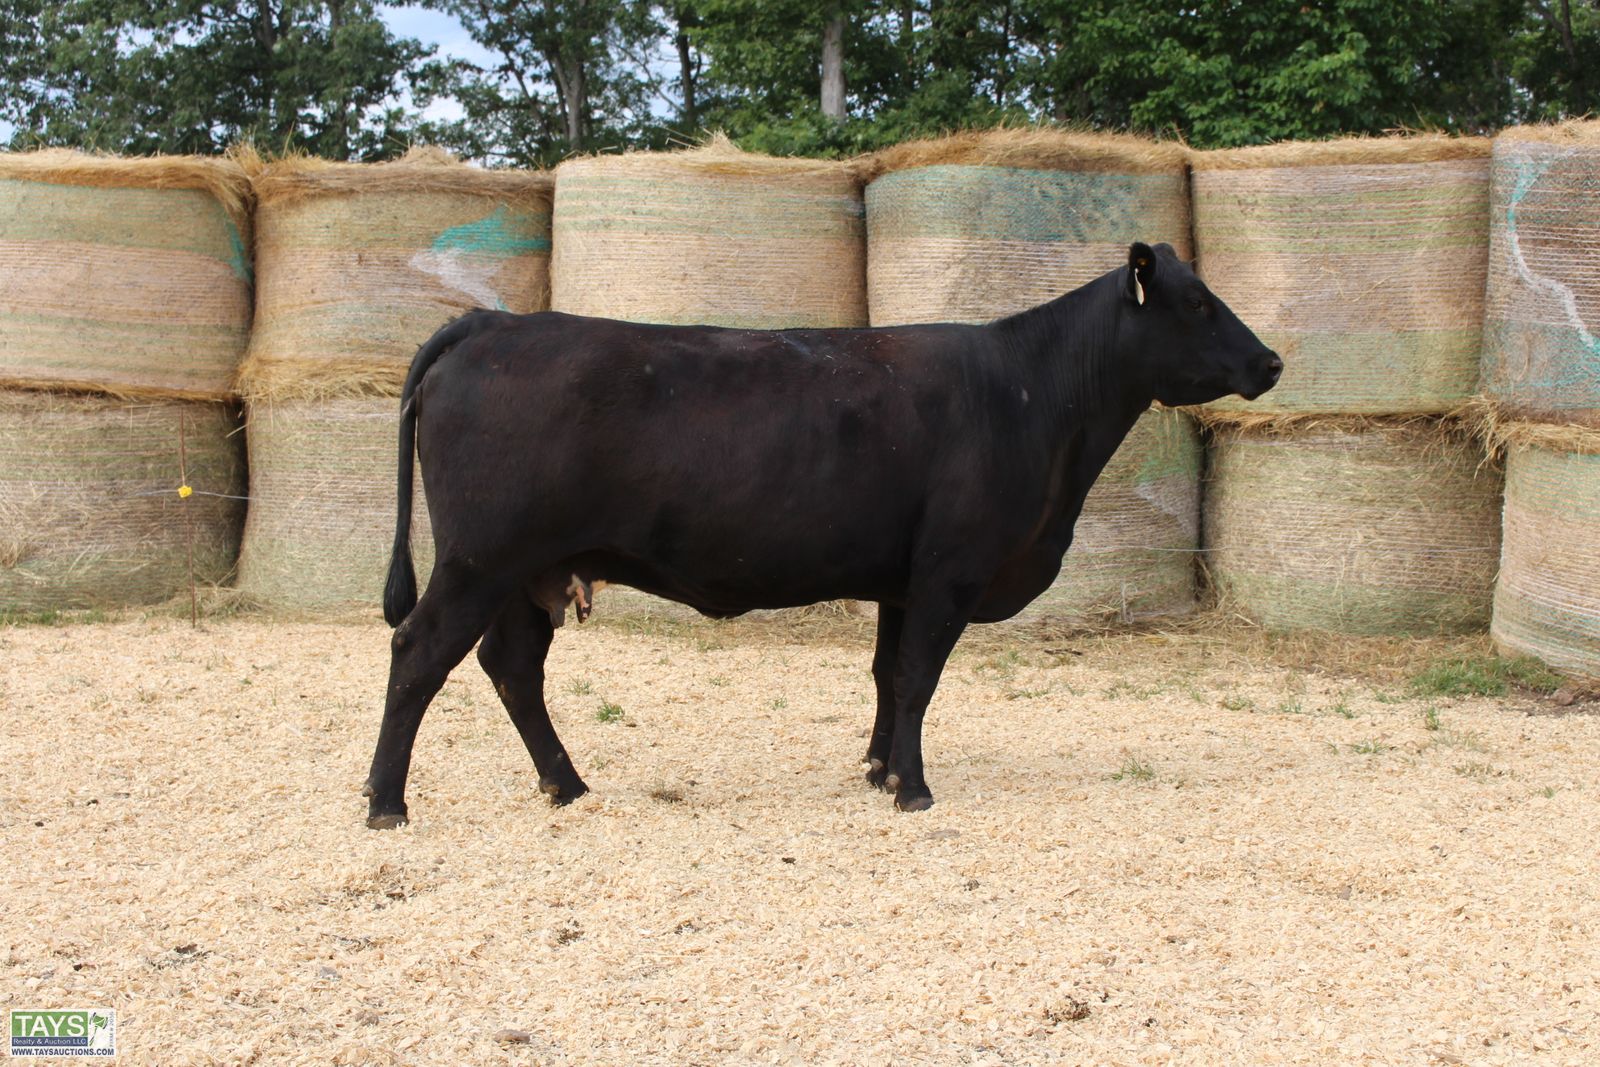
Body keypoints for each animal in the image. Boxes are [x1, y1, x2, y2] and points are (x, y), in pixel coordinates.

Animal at [363, 241, 1280, 828]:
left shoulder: (902, 579)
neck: (1029, 392)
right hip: (480, 558)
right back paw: (386, 802)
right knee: (419, 652)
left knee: (511, 667)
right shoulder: (951, 570)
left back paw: (567, 785)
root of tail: (494, 322)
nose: (1270, 361)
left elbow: (886, 676)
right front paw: (912, 788)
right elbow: (917, 679)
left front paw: (878, 769)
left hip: (529, 570)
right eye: (1198, 303)